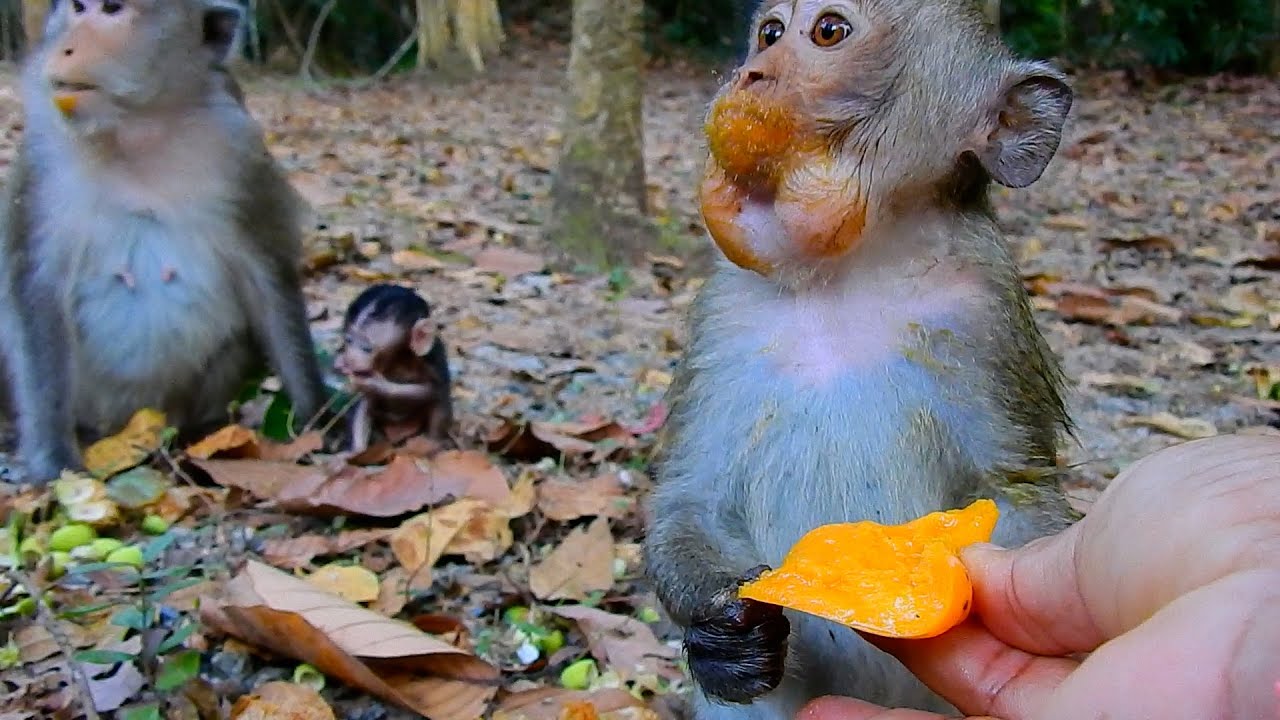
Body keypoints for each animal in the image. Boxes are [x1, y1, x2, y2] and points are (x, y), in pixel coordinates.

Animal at [0, 0, 326, 484]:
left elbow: (267, 277)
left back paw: (203, 431)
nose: (67, 47)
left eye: (112, 9)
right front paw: (54, 460)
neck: (137, 130)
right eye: (78, 7)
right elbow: (36, 295)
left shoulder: (240, 154)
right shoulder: (42, 163)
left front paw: (318, 416)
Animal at [333, 284, 454, 455]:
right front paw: (340, 362)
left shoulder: (433, 358)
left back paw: (433, 444)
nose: (350, 359)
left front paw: (374, 383)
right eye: (349, 341)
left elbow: (433, 390)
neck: (399, 359)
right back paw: (357, 451)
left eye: (367, 348)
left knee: (440, 403)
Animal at [641, 1, 1078, 719]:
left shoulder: (986, 313)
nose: (752, 72)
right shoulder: (720, 313)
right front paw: (720, 633)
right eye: (769, 33)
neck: (845, 275)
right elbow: (691, 494)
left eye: (829, 31)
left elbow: (1015, 488)